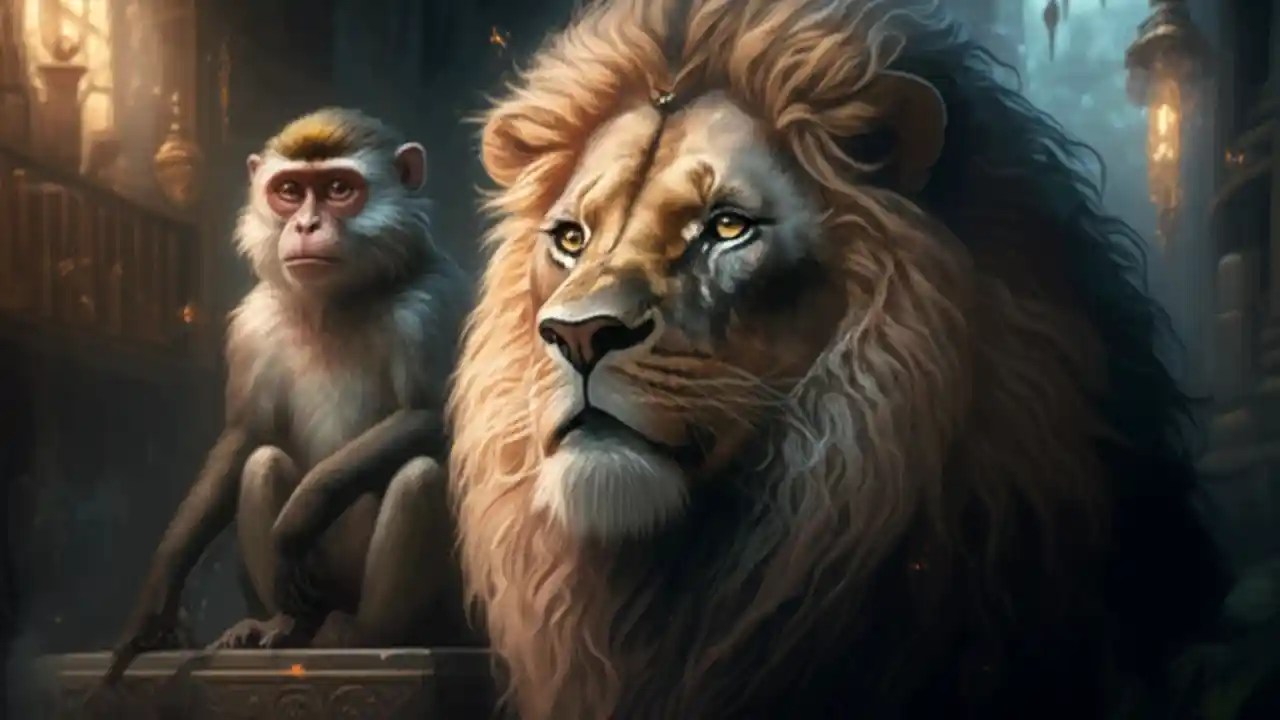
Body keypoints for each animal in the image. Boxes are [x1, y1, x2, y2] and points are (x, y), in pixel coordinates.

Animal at [104, 108, 475, 682]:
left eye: (339, 189)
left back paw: (369, 636)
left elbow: (435, 417)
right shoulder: (255, 320)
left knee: (421, 476)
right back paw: (280, 625)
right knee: (262, 463)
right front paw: (157, 598)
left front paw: (302, 512)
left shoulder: (433, 301)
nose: (305, 226)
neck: (336, 304)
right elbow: (245, 438)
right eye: (289, 190)